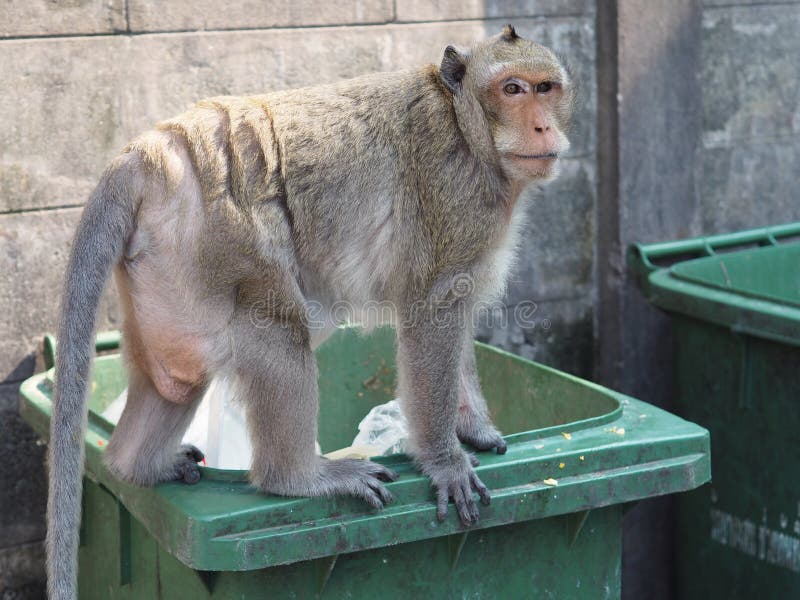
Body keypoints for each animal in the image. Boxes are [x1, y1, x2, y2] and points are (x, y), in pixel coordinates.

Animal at [47, 24, 572, 599]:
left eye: (546, 88)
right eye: (513, 89)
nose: (543, 125)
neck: (466, 128)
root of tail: (152, 149)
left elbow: (457, 322)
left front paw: (471, 424)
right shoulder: (456, 201)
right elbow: (434, 313)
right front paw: (444, 461)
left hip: (163, 275)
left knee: (177, 382)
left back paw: (137, 465)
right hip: (218, 236)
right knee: (276, 329)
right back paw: (297, 478)